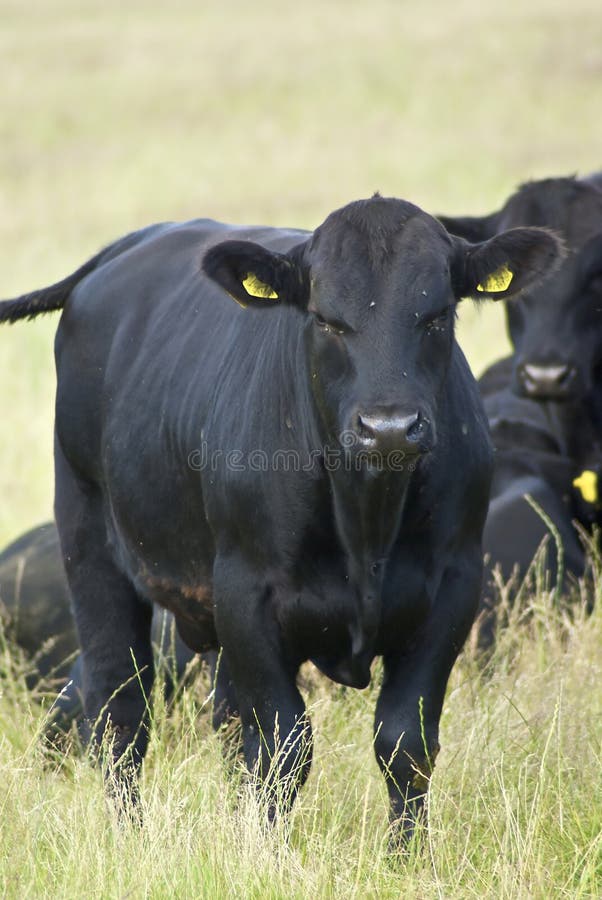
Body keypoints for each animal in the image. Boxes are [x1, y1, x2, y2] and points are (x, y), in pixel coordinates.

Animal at [0, 195, 562, 843]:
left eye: (438, 315)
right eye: (325, 319)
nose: (388, 428)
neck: (366, 523)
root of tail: (125, 249)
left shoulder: (453, 587)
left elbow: (405, 742)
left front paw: (406, 855)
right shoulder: (248, 592)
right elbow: (282, 745)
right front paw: (267, 851)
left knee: (221, 716)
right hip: (89, 542)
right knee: (120, 707)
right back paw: (130, 836)